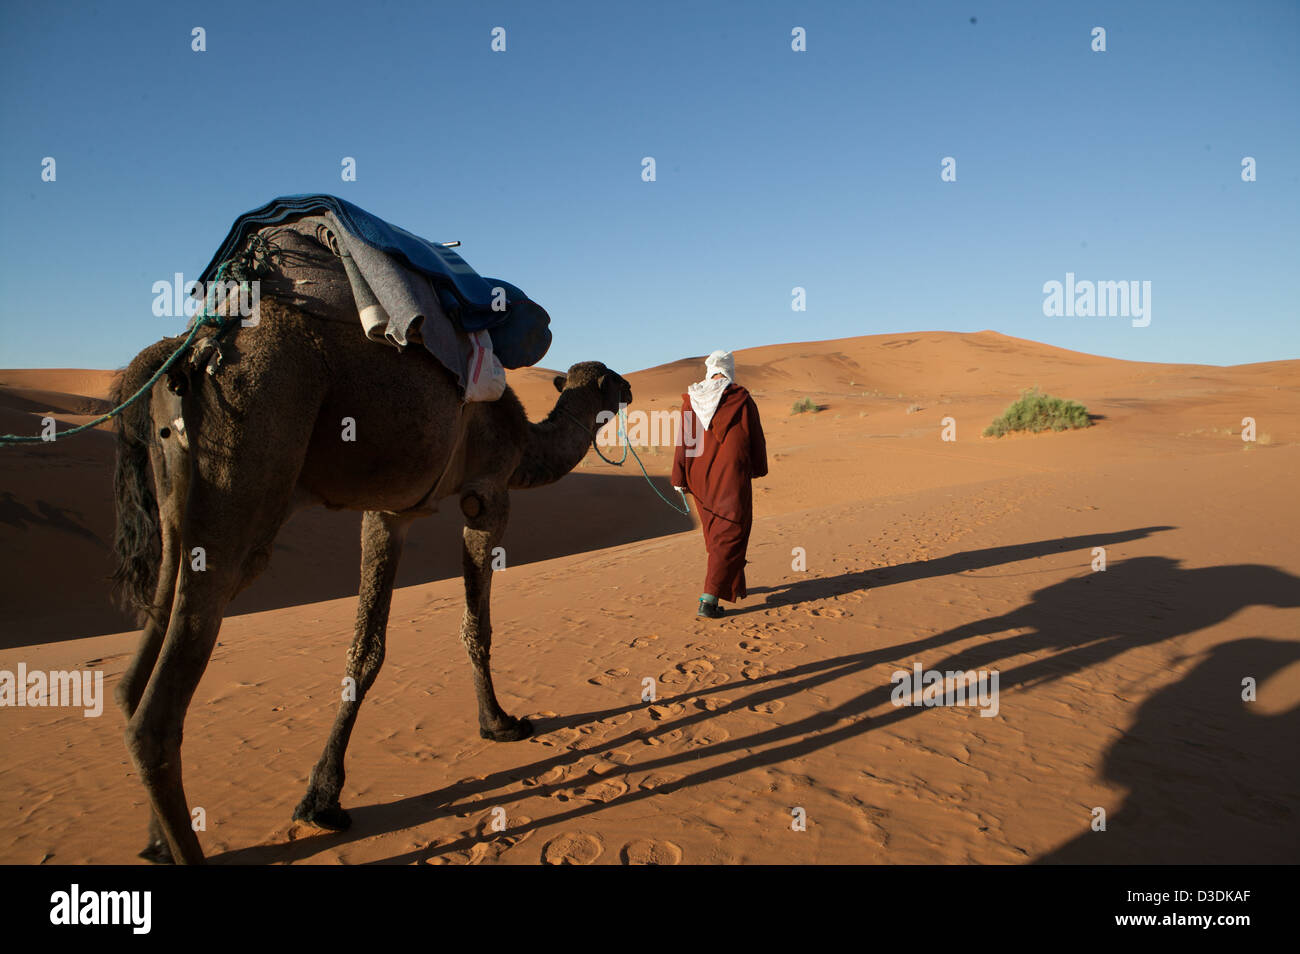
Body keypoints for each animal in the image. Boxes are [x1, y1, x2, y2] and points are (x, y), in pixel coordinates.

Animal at [109, 295, 631, 864]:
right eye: (609, 379)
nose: (629, 387)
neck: (526, 442)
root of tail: (177, 356)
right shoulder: (488, 494)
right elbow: (477, 626)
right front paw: (499, 723)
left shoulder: (390, 511)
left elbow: (367, 647)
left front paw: (322, 798)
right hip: (244, 472)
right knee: (156, 715)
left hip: (173, 504)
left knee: (139, 665)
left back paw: (156, 841)